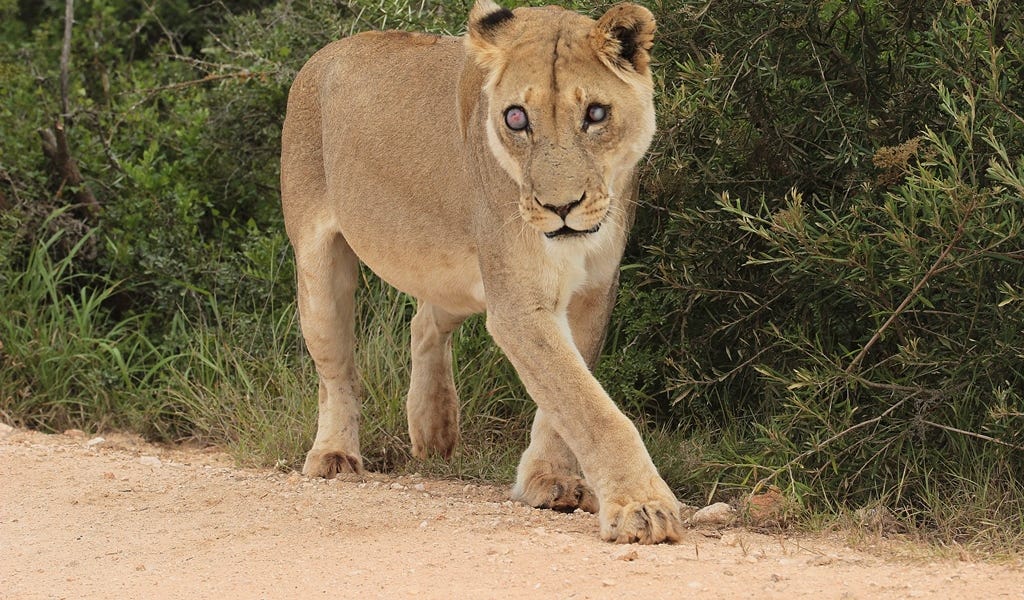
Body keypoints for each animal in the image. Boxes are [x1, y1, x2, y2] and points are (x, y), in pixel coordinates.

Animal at [280, 0, 682, 544]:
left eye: (596, 114)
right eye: (516, 118)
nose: (560, 208)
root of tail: (319, 56)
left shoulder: (592, 294)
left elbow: (565, 401)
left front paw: (548, 480)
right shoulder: (517, 303)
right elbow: (590, 409)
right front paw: (643, 505)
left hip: (460, 278)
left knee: (424, 322)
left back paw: (433, 429)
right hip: (319, 265)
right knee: (336, 369)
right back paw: (335, 454)